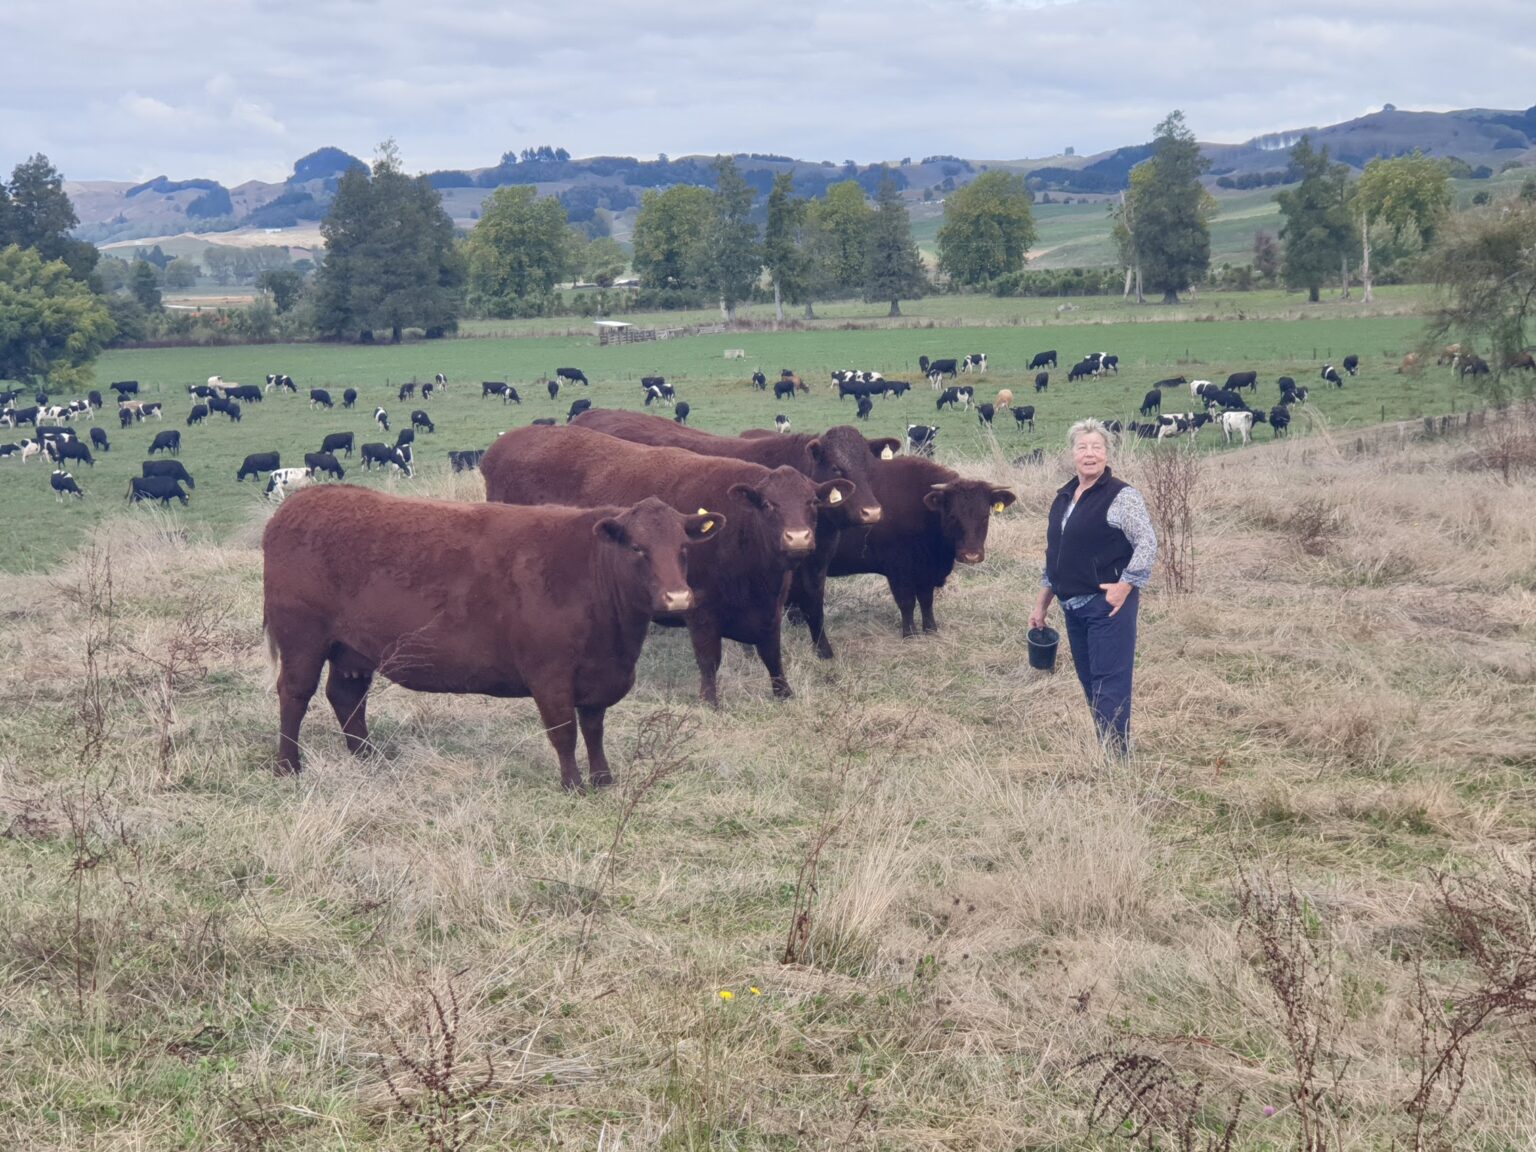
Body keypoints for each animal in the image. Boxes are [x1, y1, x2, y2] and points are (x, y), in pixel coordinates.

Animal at [263, 487, 717, 787]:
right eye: (637, 548)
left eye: (682, 548)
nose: (677, 597)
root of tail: (301, 501)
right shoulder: (549, 673)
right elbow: (564, 730)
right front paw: (572, 784)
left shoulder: (598, 674)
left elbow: (594, 728)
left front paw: (603, 778)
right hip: (303, 638)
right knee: (295, 694)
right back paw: (288, 765)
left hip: (351, 650)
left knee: (345, 697)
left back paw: (368, 757)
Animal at [483, 425, 848, 704]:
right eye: (769, 505)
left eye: (811, 502)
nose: (798, 538)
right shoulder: (700, 609)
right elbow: (709, 658)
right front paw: (709, 701)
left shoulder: (770, 607)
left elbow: (772, 653)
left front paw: (784, 693)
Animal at [570, 411, 893, 663]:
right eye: (838, 467)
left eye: (870, 467)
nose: (872, 512)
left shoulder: (816, 567)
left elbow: (815, 609)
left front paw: (824, 651)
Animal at [826, 455, 1015, 638]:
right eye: (953, 515)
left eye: (985, 516)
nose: (971, 555)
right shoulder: (898, 570)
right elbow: (906, 602)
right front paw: (910, 634)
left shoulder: (926, 571)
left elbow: (926, 600)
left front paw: (931, 629)